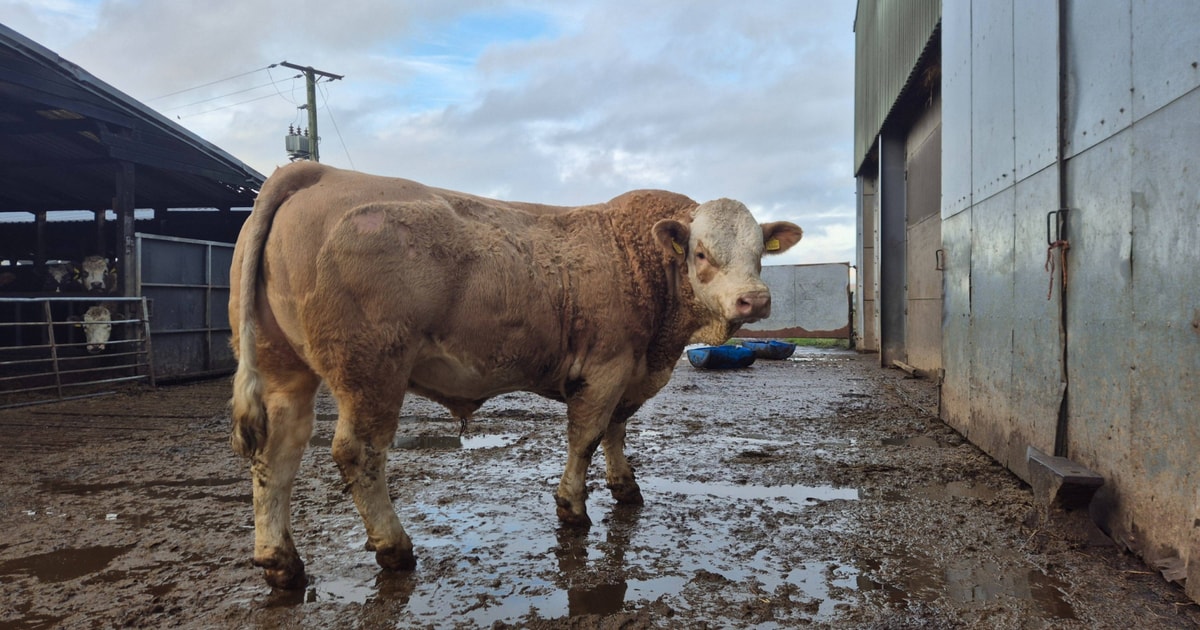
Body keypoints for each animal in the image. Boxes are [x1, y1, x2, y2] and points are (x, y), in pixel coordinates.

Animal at [229, 161, 802, 589]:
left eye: (759, 254)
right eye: (701, 253)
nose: (755, 299)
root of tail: (319, 171)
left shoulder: (633, 373)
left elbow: (617, 431)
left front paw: (625, 486)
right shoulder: (607, 366)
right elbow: (587, 436)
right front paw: (573, 507)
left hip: (285, 369)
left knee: (276, 454)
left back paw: (280, 561)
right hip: (371, 368)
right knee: (357, 453)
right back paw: (394, 547)